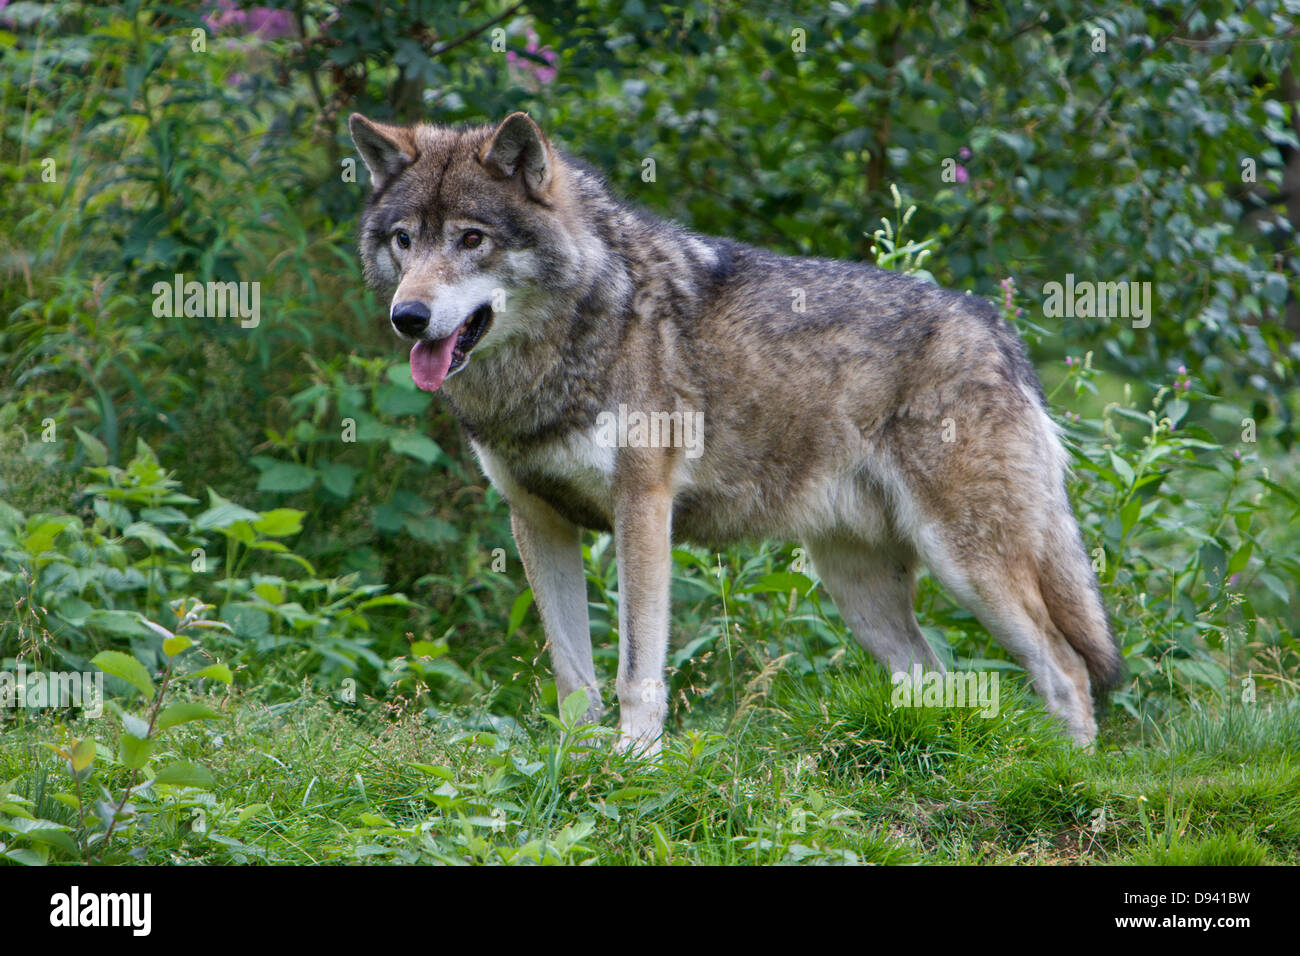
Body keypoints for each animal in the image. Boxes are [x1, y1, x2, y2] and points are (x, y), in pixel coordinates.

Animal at [348, 111, 1124, 755]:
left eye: (471, 239)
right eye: (405, 239)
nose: (408, 317)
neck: (570, 339)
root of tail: (997, 328)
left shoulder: (643, 508)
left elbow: (636, 669)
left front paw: (633, 762)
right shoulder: (536, 520)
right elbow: (574, 678)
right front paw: (575, 760)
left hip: (968, 567)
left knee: (1067, 668)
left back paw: (1068, 773)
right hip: (859, 587)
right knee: (934, 675)